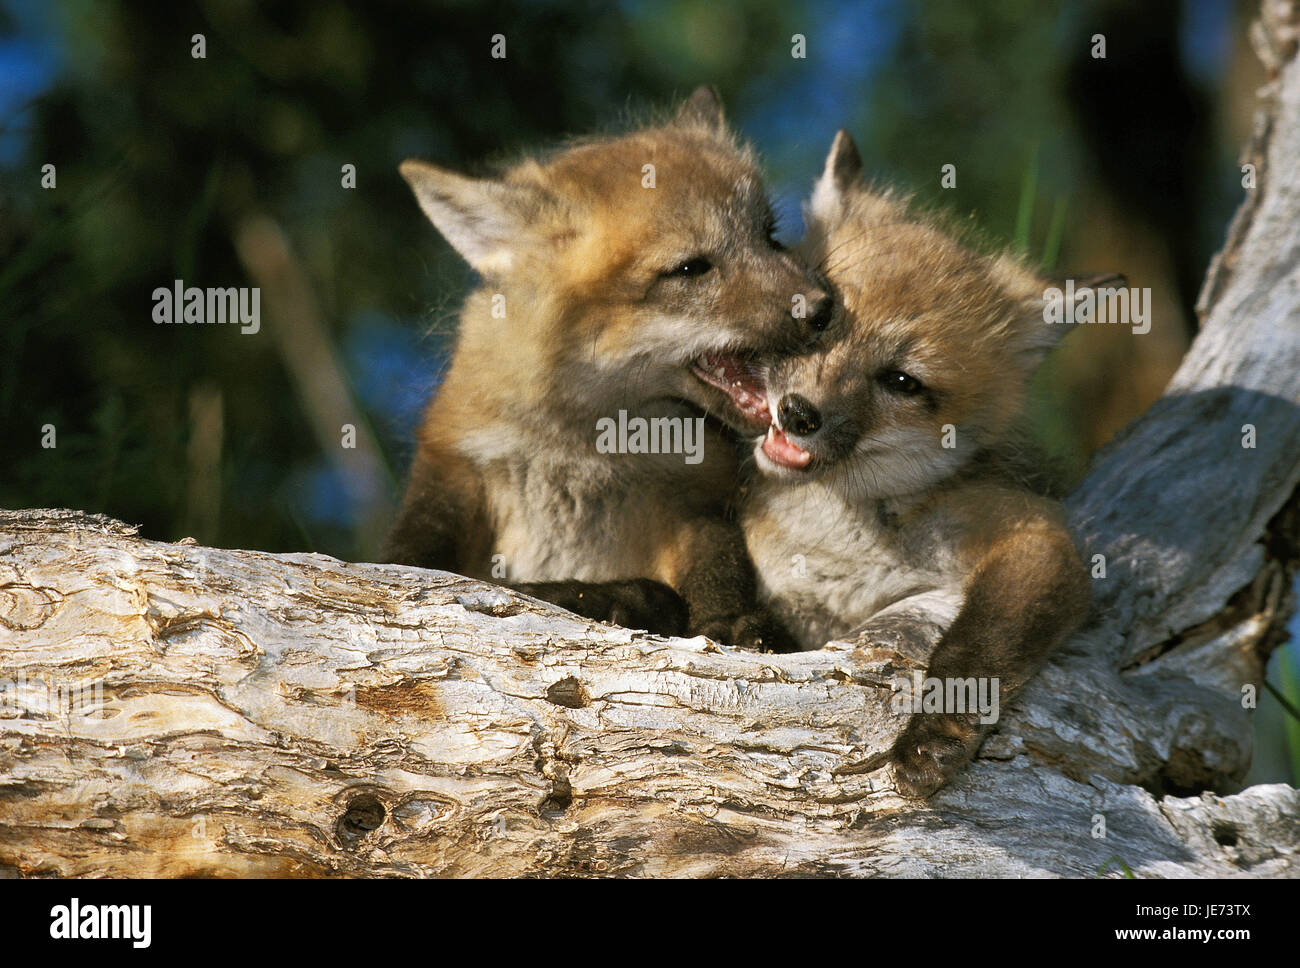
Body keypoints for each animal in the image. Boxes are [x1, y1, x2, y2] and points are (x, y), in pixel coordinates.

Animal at [383, 88, 833, 649]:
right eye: (691, 268)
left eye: (770, 237)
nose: (827, 308)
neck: (585, 451)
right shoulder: (453, 470)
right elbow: (430, 564)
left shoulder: (696, 499)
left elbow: (719, 566)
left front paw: (729, 620)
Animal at [739, 130, 1104, 796]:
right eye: (822, 318)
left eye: (902, 382)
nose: (799, 413)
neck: (838, 544)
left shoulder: (1038, 537)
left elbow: (979, 643)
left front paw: (934, 732)